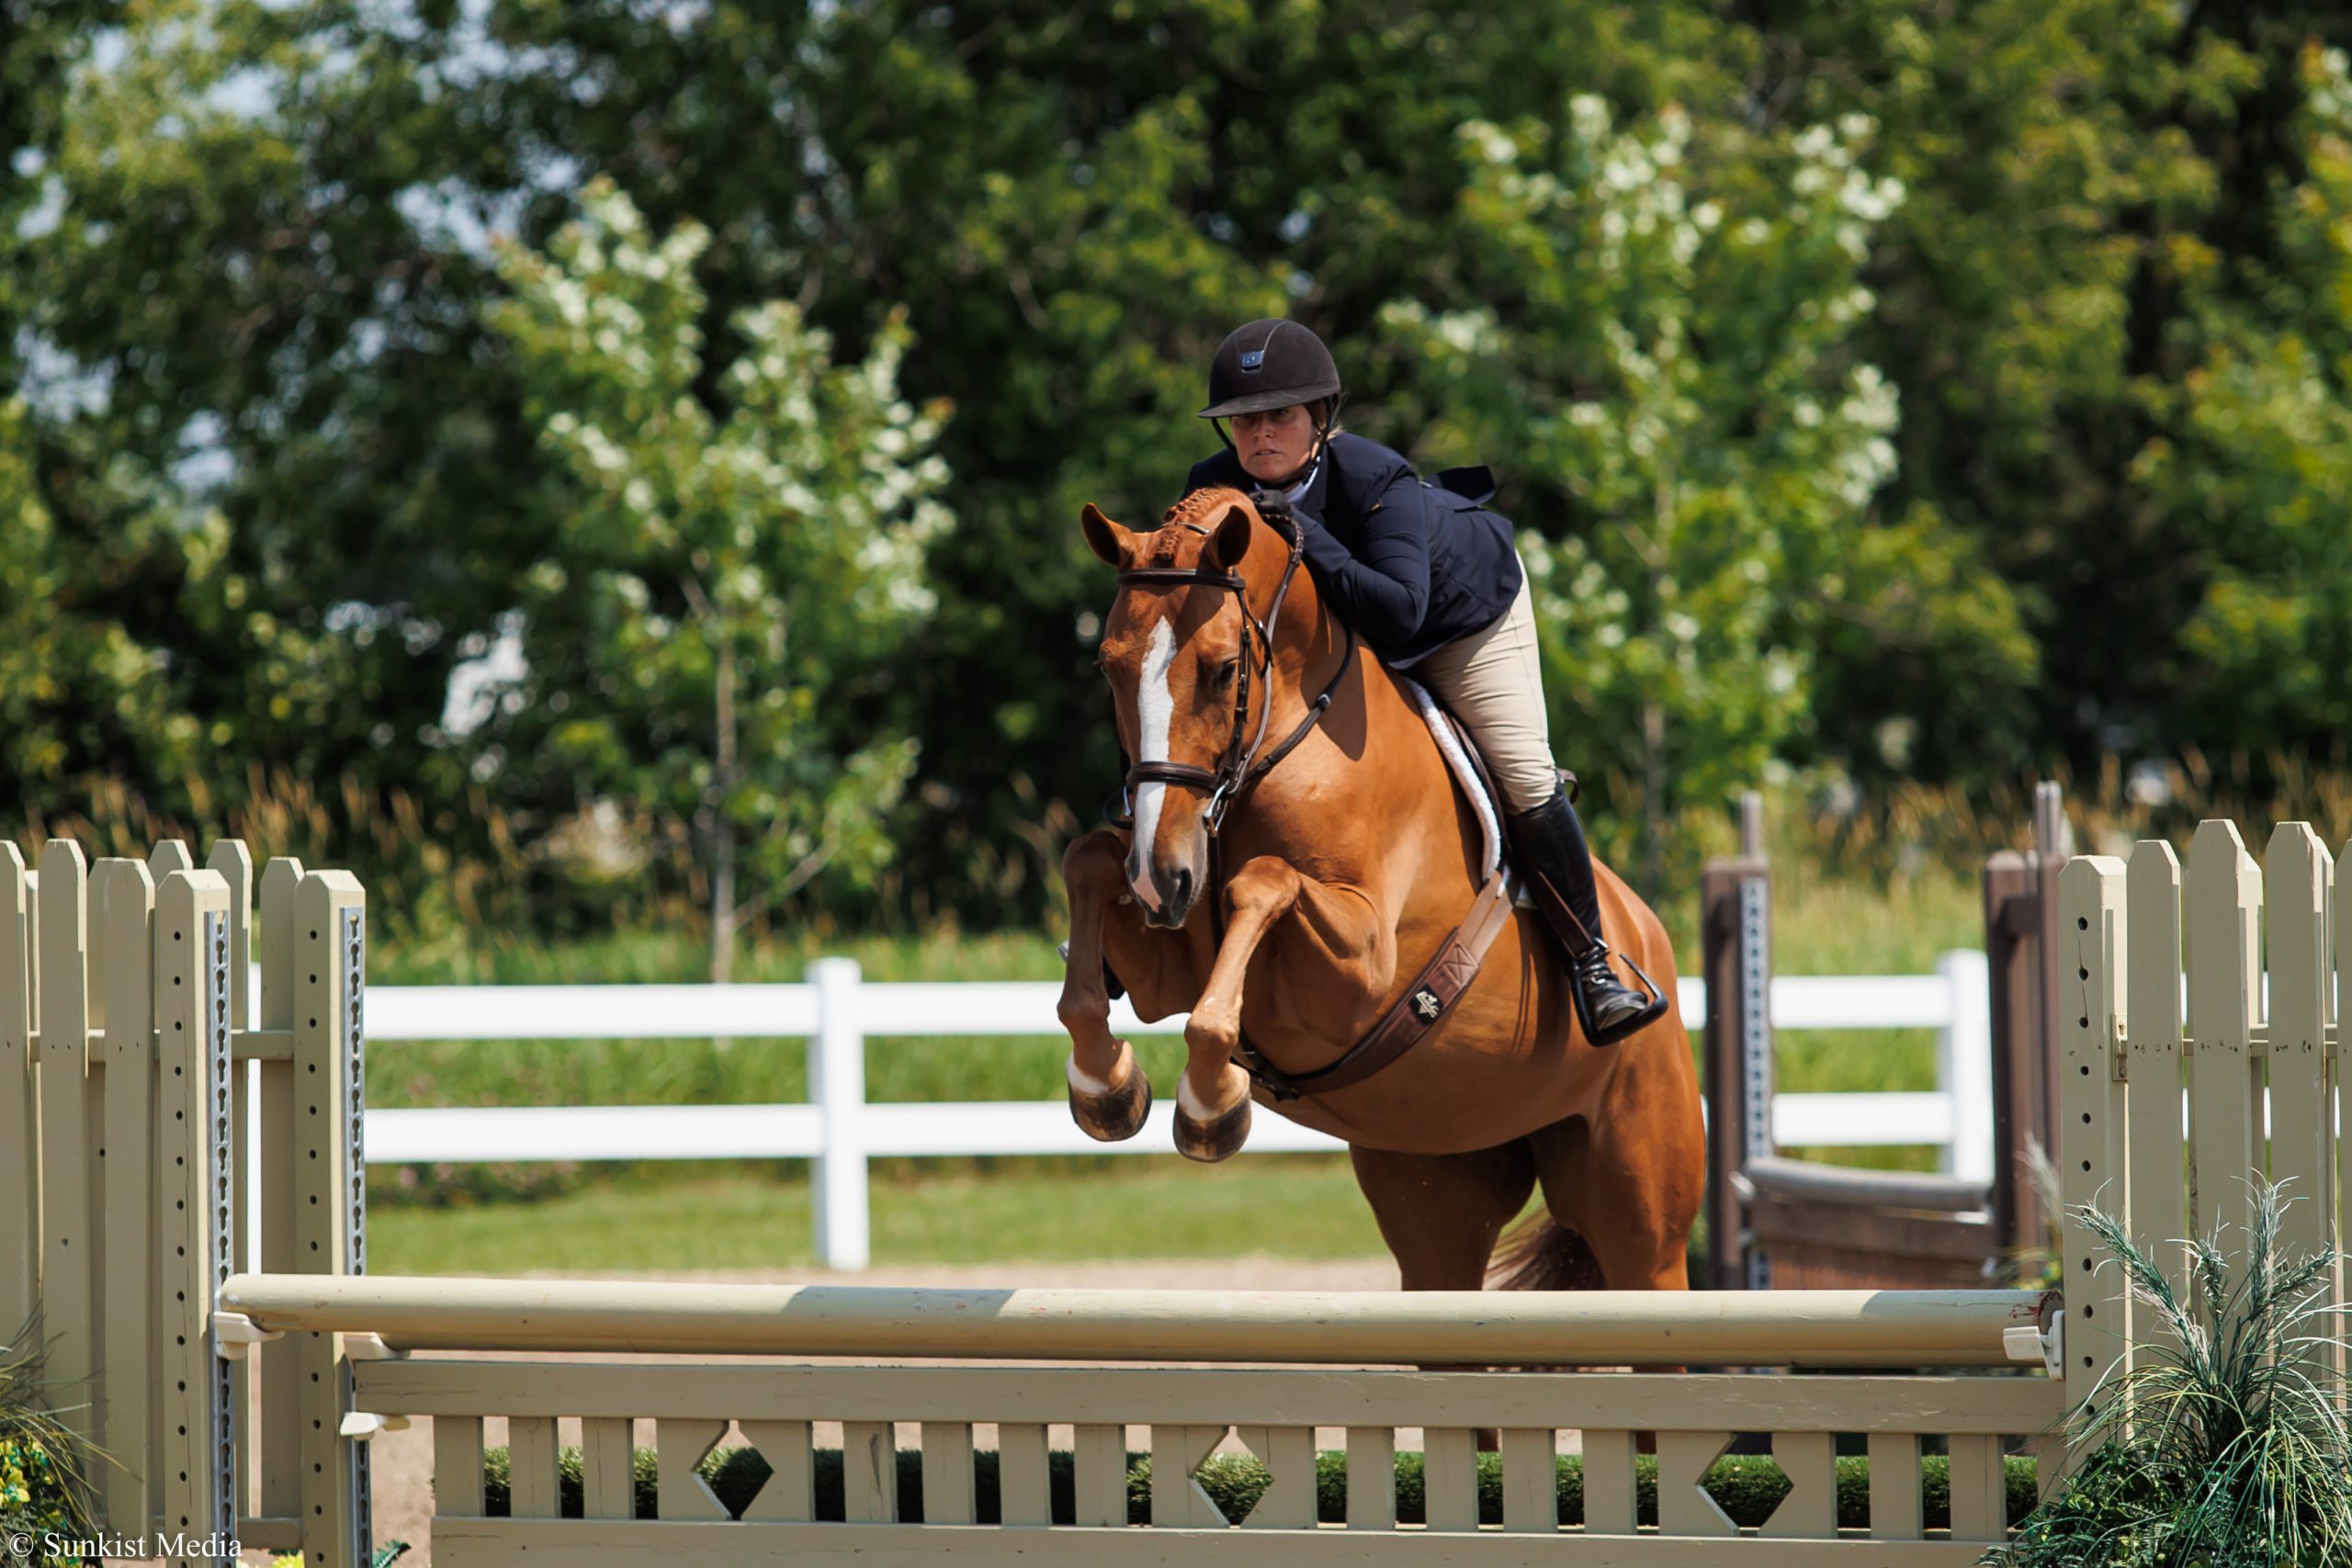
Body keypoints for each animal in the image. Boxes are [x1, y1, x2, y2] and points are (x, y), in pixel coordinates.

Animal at [1056, 486, 1706, 1295]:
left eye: (1223, 669)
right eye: (1107, 666)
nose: (1159, 878)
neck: (1280, 744)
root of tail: (1645, 932)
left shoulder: (1360, 971)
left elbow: (1260, 883)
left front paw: (1210, 1106)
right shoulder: (1167, 959)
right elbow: (1087, 863)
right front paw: (1105, 1088)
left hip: (1643, 1219)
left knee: (1644, 1255)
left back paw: (1610, 995)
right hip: (1439, 1193)